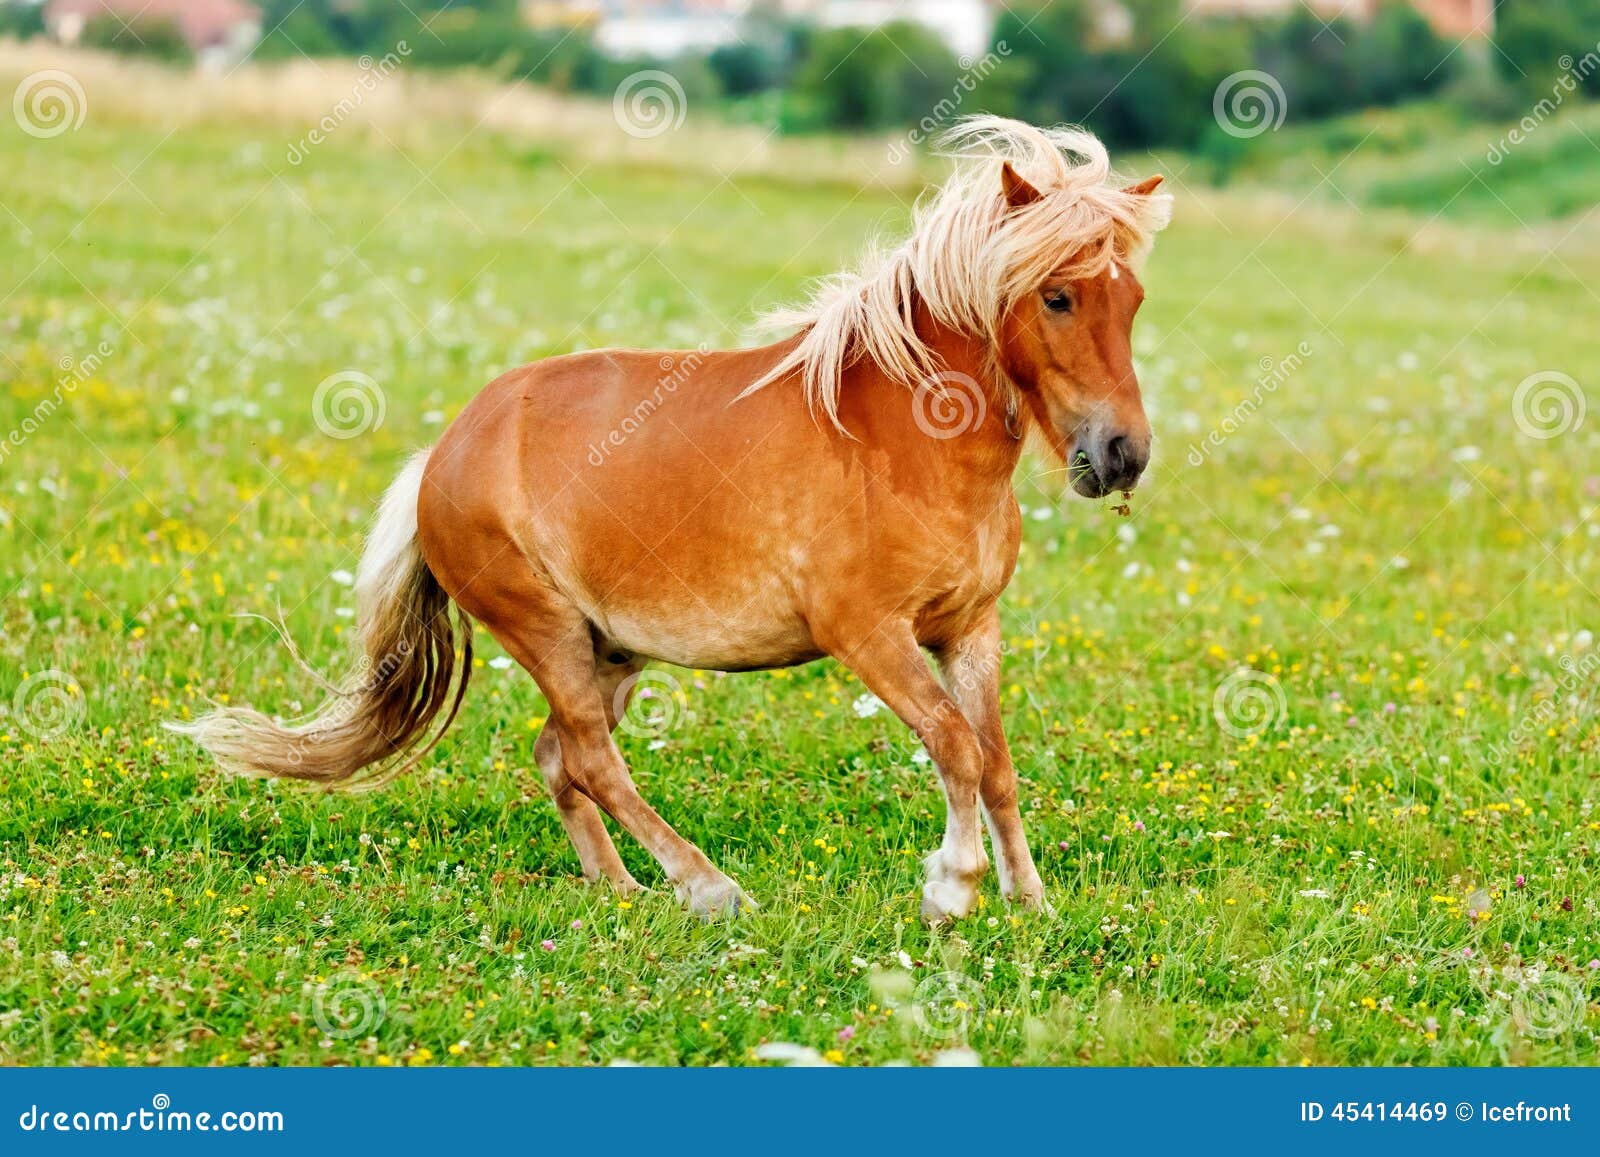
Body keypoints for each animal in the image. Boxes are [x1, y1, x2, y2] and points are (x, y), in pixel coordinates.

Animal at [173, 116, 1170, 922]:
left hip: (609, 647)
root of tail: (445, 452)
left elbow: (994, 761)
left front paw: (1028, 899)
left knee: (559, 757)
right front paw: (951, 889)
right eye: (1056, 296)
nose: (1121, 453)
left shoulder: (969, 629)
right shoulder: (867, 635)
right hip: (544, 632)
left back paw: (620, 887)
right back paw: (707, 886)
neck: (904, 442)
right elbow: (955, 747)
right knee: (590, 757)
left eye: (1133, 300)